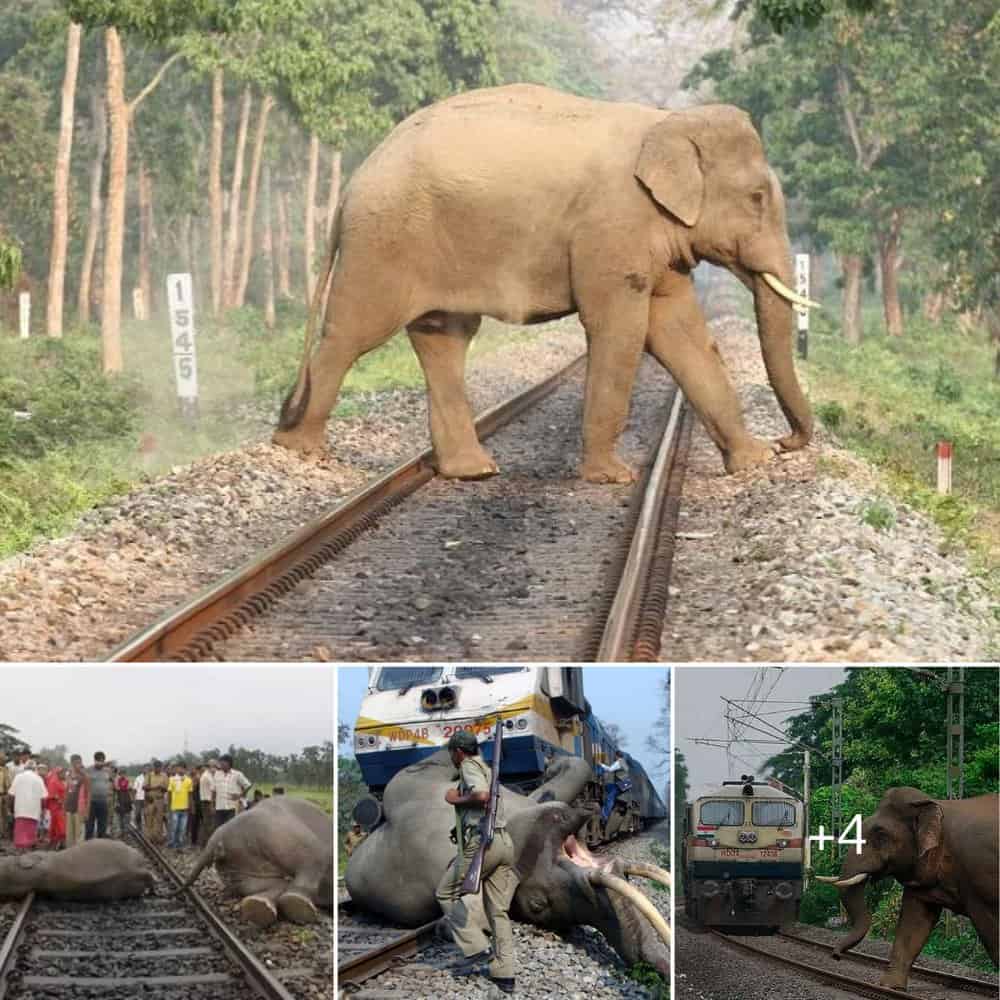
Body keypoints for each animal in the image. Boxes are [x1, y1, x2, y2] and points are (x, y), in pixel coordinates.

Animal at [273, 83, 816, 483]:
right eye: (756, 197)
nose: (784, 443)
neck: (666, 121)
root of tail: (352, 185)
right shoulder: (612, 226)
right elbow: (620, 330)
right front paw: (611, 477)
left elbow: (680, 332)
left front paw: (751, 462)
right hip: (383, 243)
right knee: (351, 334)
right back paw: (298, 449)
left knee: (443, 339)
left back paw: (473, 471)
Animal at [816, 787, 999, 989]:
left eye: (881, 835)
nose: (836, 955)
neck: (937, 805)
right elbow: (914, 920)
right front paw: (890, 987)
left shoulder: (981, 879)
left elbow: (990, 929)